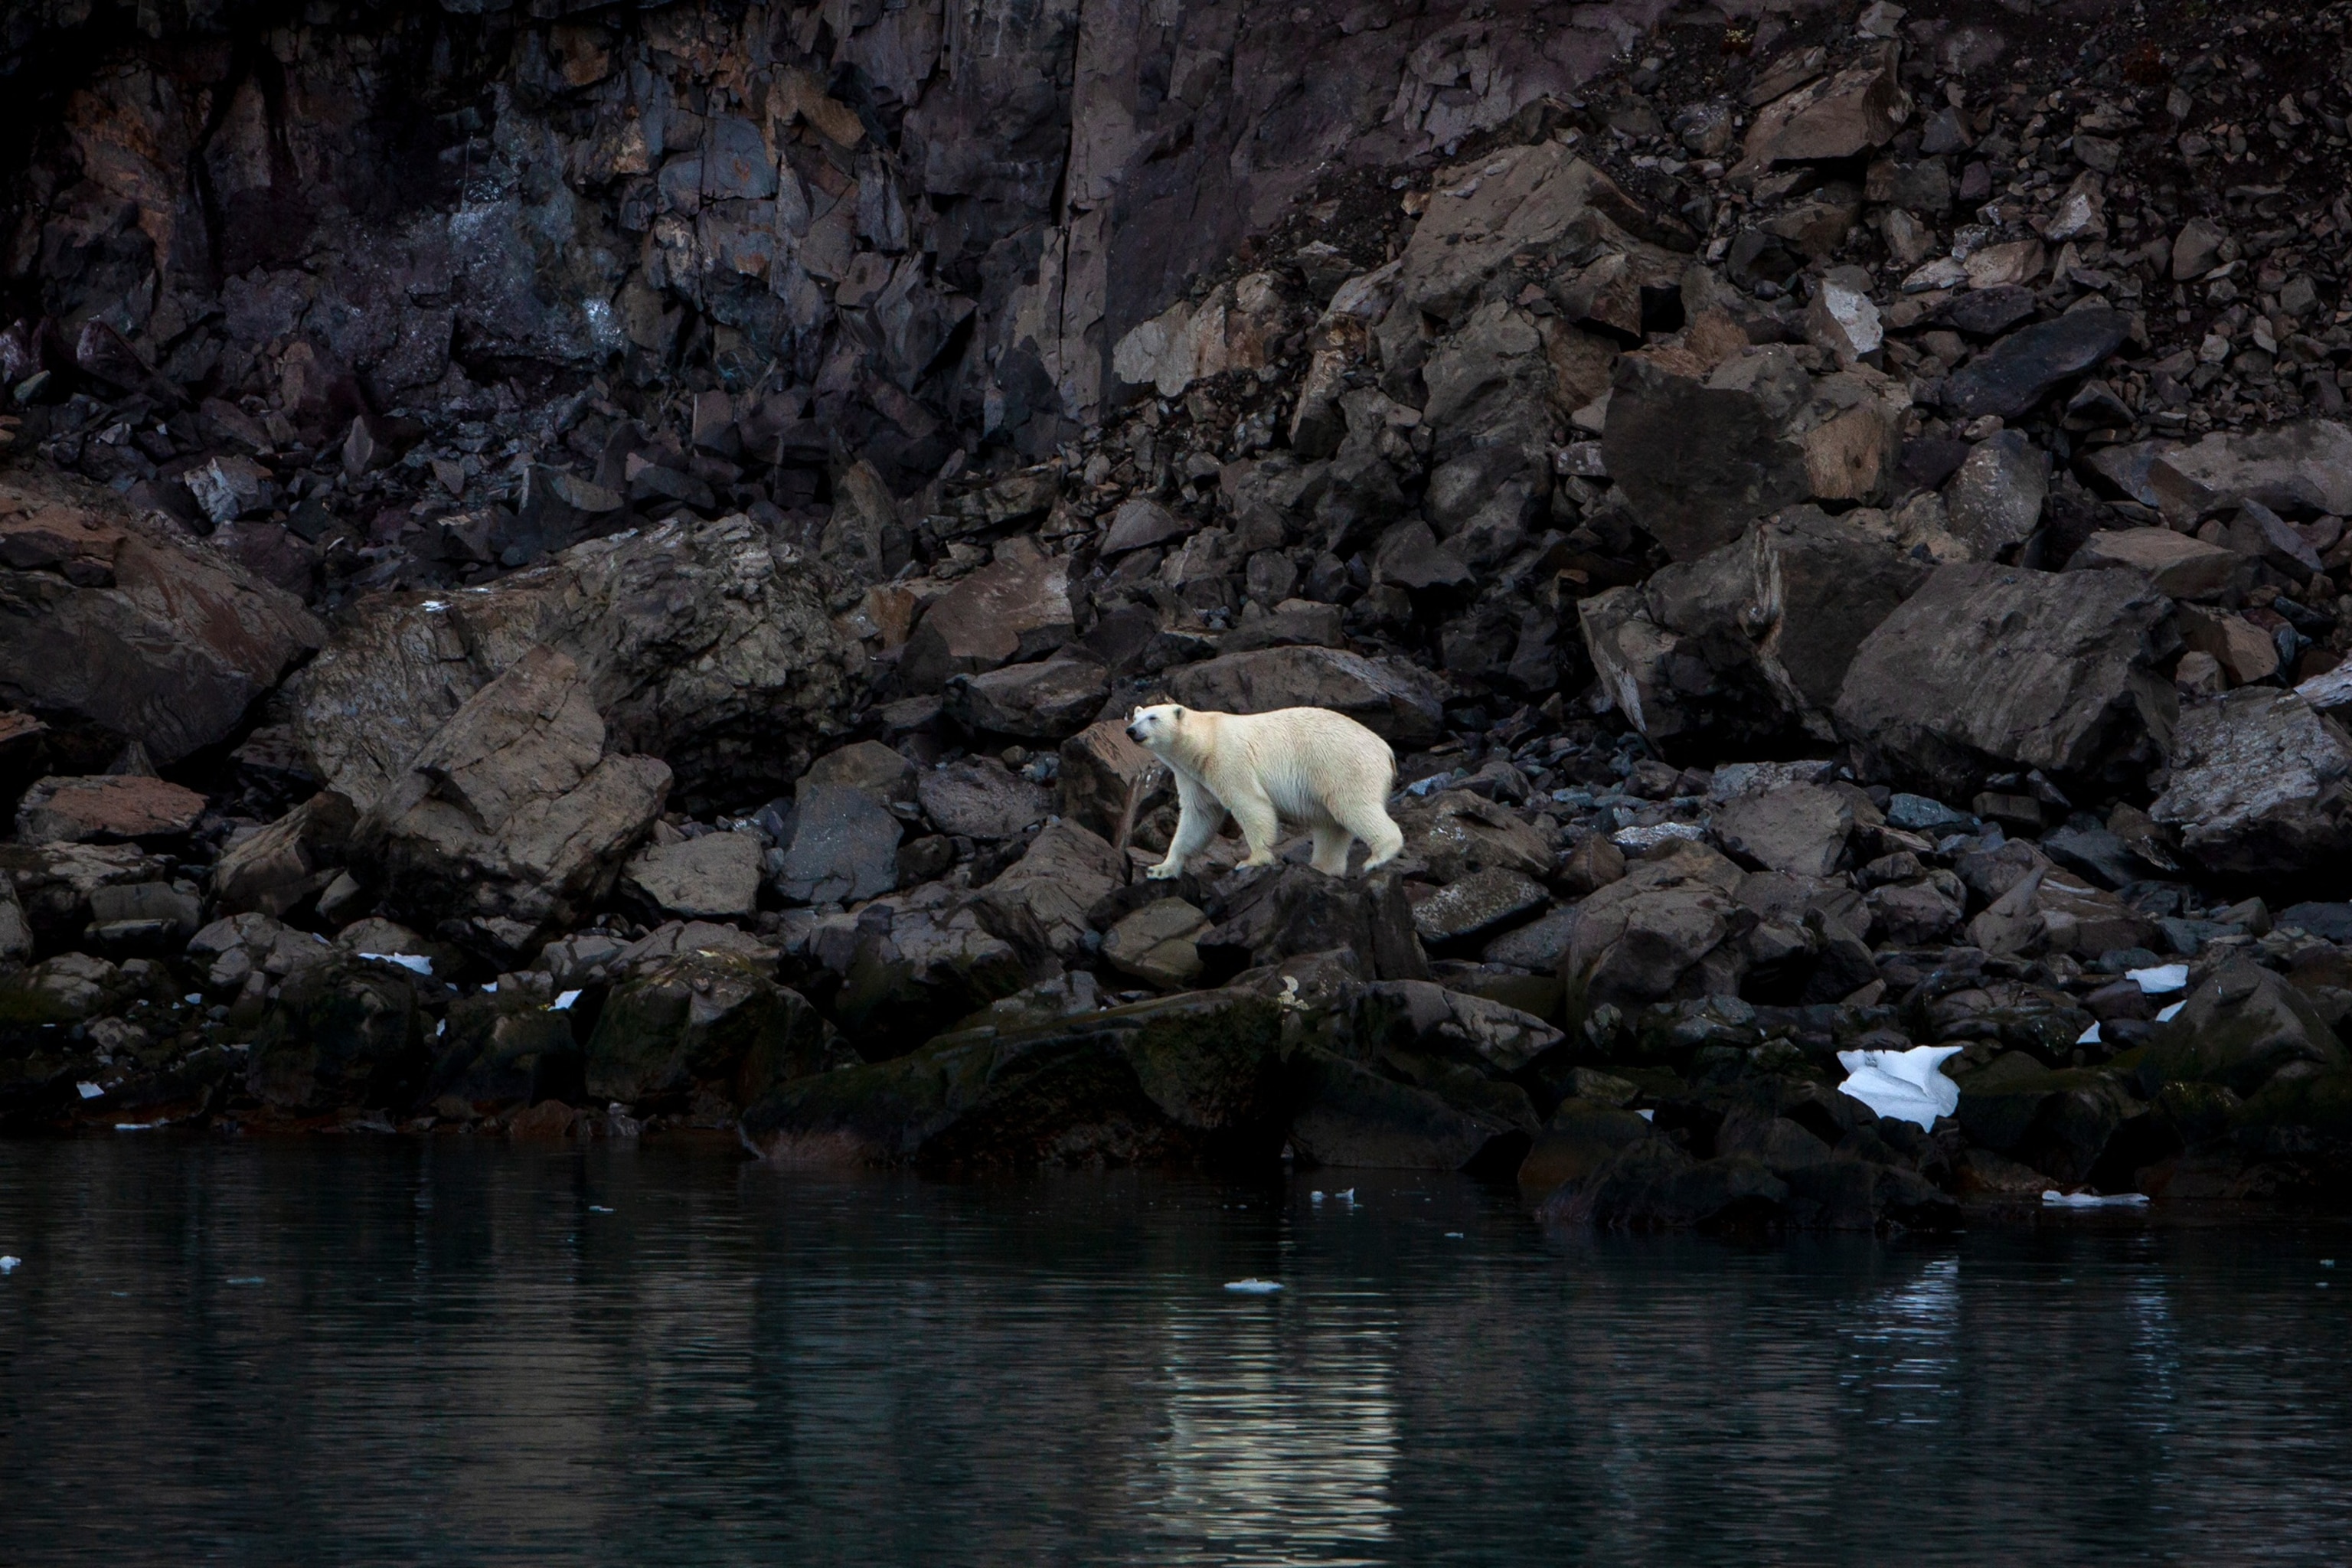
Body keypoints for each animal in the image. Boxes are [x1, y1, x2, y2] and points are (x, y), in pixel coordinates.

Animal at [1124, 702, 1405, 879]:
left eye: (1153, 718)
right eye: (1135, 717)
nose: (1131, 730)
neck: (1205, 741)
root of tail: (1387, 751)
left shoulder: (1228, 759)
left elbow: (1250, 803)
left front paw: (1252, 860)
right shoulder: (1192, 776)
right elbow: (1199, 815)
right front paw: (1161, 868)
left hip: (1344, 765)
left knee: (1352, 807)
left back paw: (1379, 857)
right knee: (1331, 826)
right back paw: (1322, 866)